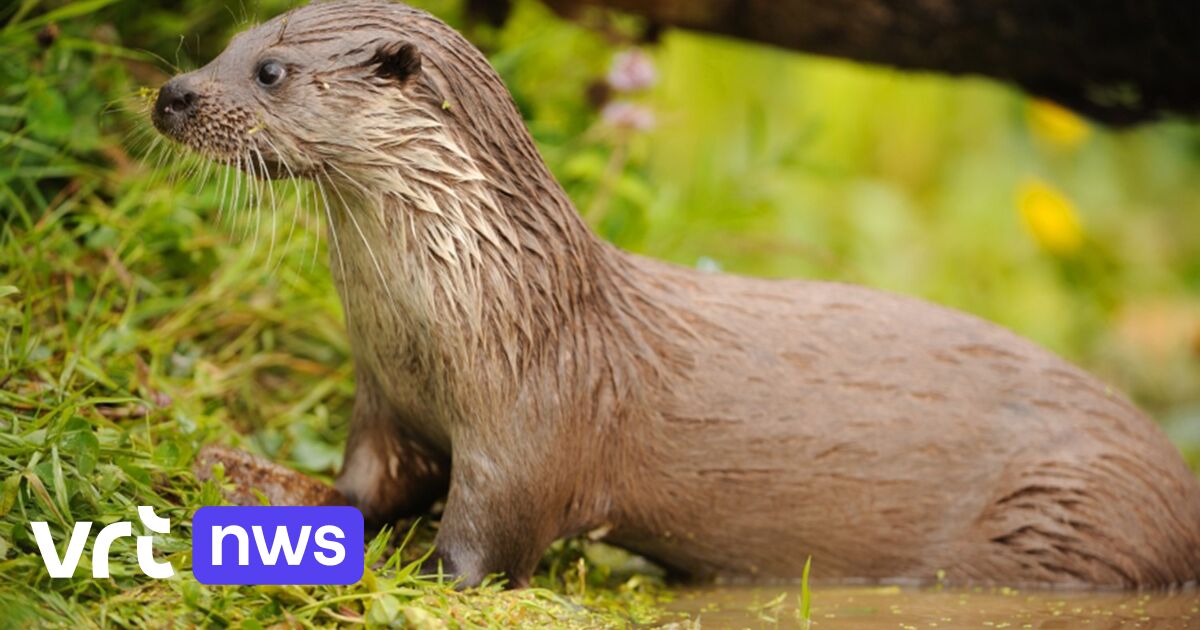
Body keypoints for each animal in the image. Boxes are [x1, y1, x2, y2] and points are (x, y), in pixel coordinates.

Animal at [153, 0, 1200, 588]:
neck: (483, 309)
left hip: (1081, 510)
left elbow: (487, 546)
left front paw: (420, 572)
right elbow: (362, 488)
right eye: (224, 46)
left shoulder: (533, 428)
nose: (172, 94)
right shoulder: (384, 400)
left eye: (271, 71)